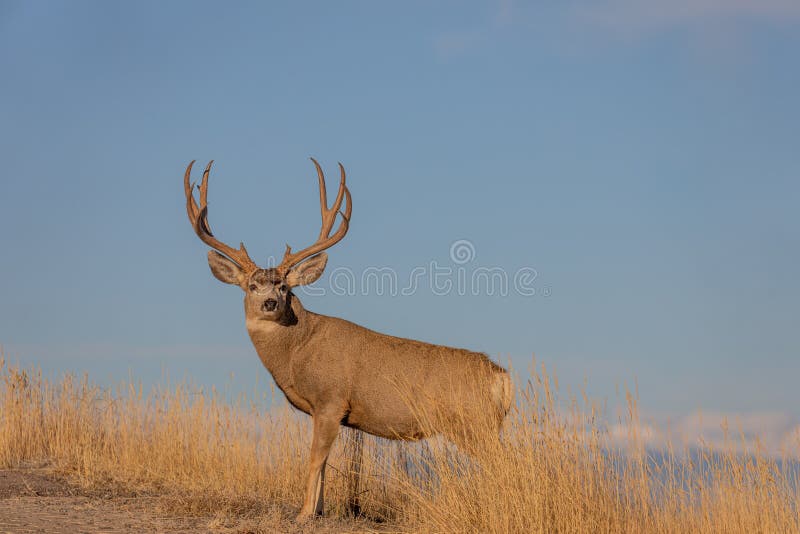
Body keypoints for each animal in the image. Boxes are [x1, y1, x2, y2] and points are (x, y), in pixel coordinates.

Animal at [182, 158, 513, 520]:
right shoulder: (324, 411)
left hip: (474, 423)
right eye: (252, 286)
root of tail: (500, 376)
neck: (298, 350)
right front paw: (319, 510)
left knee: (505, 464)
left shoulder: (331, 400)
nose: (269, 303)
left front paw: (303, 514)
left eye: (283, 286)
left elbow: (315, 459)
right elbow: (326, 463)